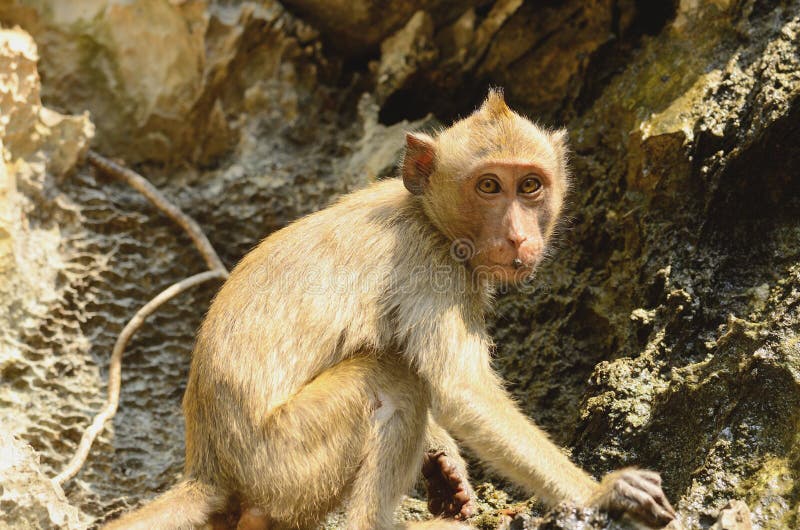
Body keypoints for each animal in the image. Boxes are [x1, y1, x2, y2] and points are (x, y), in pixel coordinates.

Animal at [103, 89, 676, 530]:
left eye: (530, 185)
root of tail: (207, 468)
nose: (518, 236)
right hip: (282, 461)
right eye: (489, 185)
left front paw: (445, 465)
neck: (427, 214)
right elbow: (462, 391)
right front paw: (603, 492)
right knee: (395, 379)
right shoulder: (432, 268)